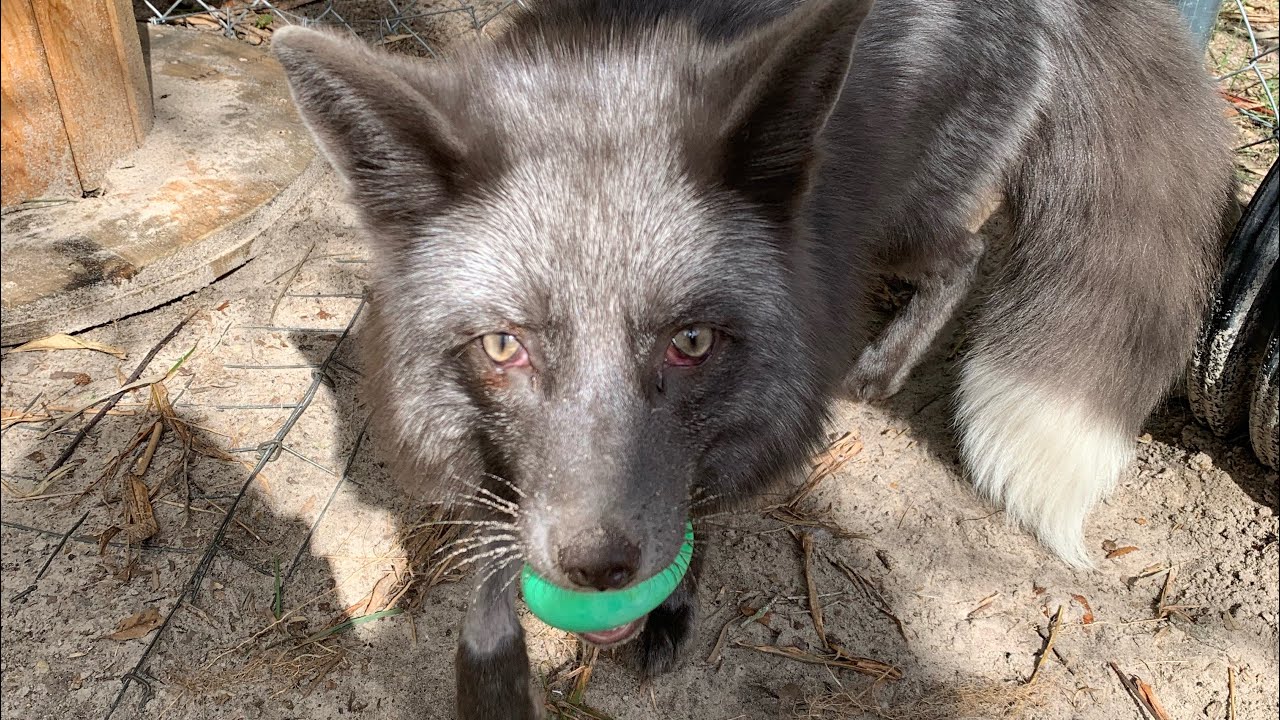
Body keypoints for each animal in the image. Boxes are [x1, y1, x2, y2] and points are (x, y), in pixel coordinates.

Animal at [271, 0, 1234, 716]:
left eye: (691, 341)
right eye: (504, 346)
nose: (599, 567)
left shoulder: (762, 413)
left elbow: (698, 514)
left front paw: (673, 603)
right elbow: (491, 582)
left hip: (898, 219)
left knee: (968, 251)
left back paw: (886, 364)